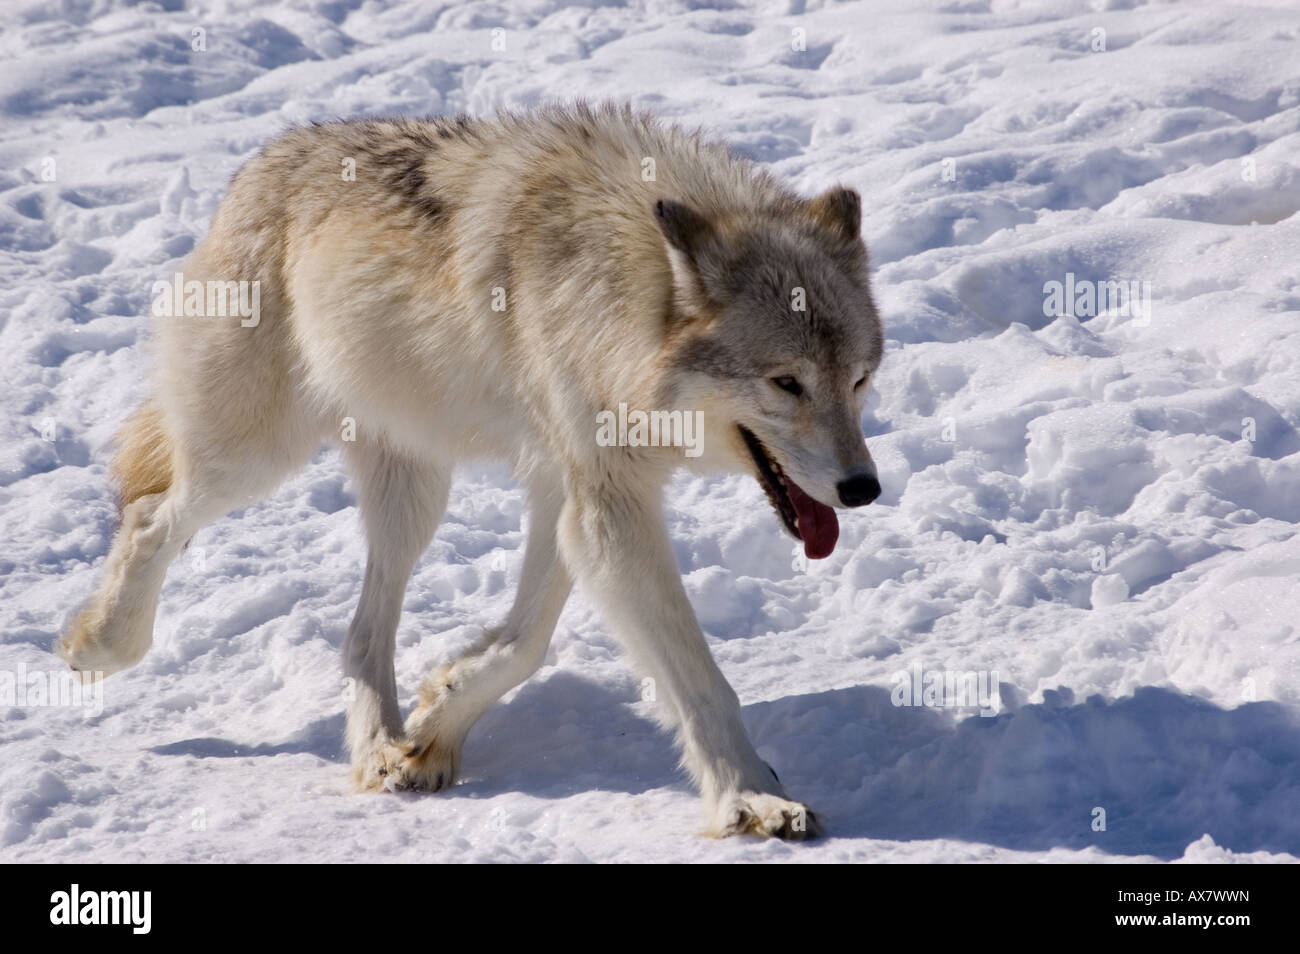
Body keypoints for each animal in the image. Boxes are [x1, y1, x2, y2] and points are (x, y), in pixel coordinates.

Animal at [59, 103, 883, 840]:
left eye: (859, 380)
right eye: (787, 383)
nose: (864, 488)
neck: (617, 286)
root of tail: (262, 161)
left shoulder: (570, 491)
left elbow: (525, 643)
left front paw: (436, 726)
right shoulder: (606, 501)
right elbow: (696, 677)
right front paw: (752, 797)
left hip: (414, 501)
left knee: (361, 633)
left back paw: (379, 749)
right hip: (253, 457)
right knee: (150, 516)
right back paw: (101, 643)